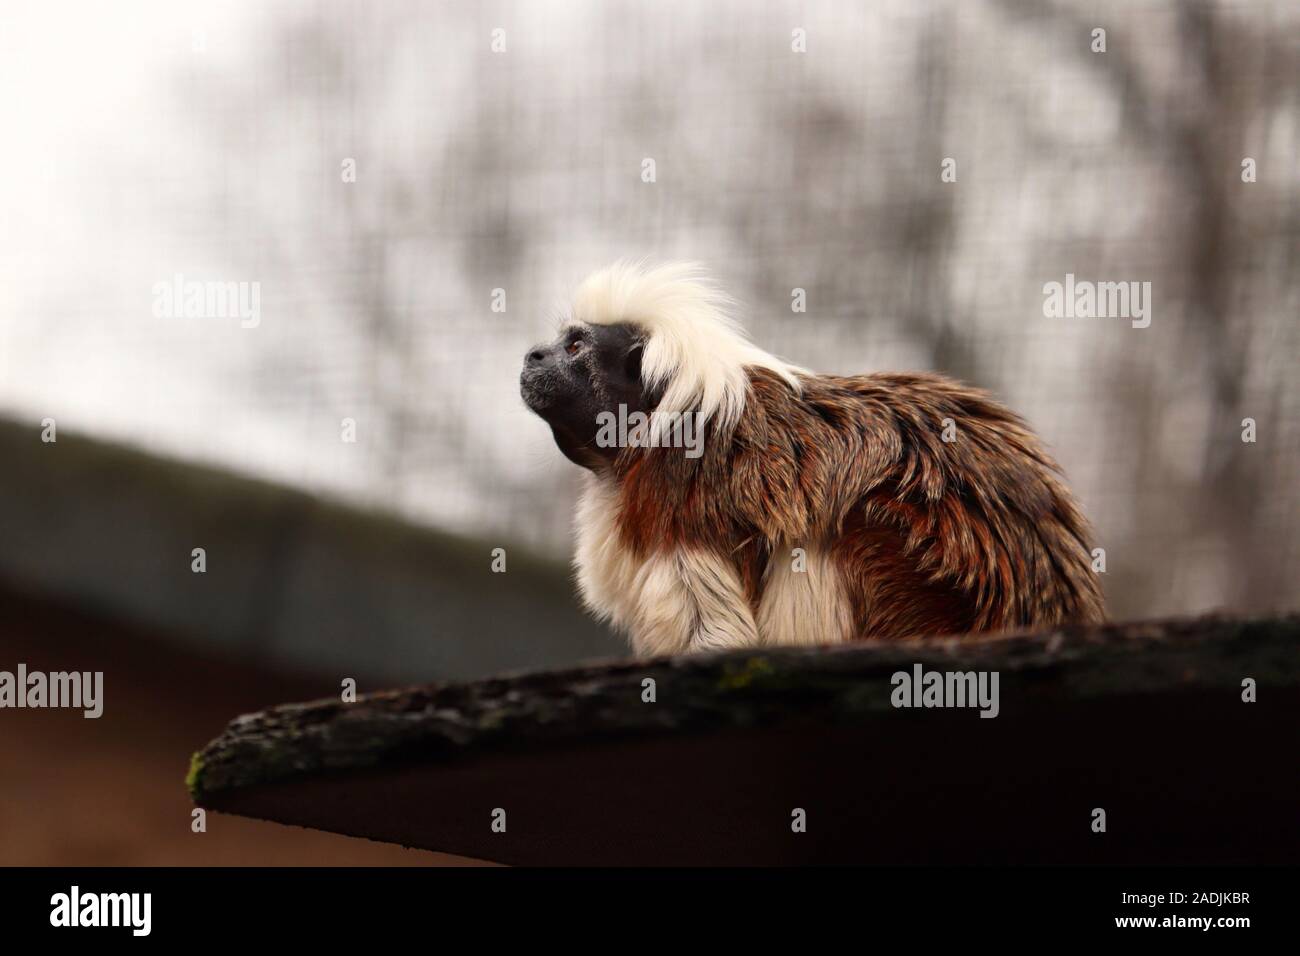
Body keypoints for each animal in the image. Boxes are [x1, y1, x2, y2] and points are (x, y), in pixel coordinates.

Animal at [520, 262, 1106, 657]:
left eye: (575, 348)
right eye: (559, 344)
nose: (532, 355)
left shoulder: (682, 488)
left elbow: (714, 630)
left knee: (842, 534)